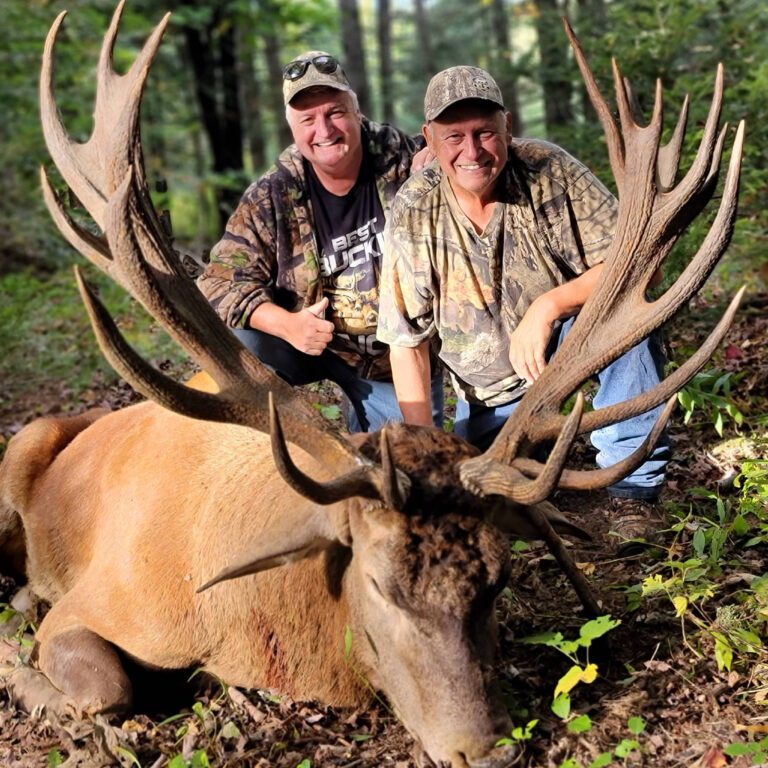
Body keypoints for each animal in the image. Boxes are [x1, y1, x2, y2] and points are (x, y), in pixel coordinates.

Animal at [0, 3, 744, 767]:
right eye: (382, 586)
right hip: (23, 444)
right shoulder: (93, 608)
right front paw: (28, 676)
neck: (245, 618)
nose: (487, 750)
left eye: (498, 578)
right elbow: (105, 687)